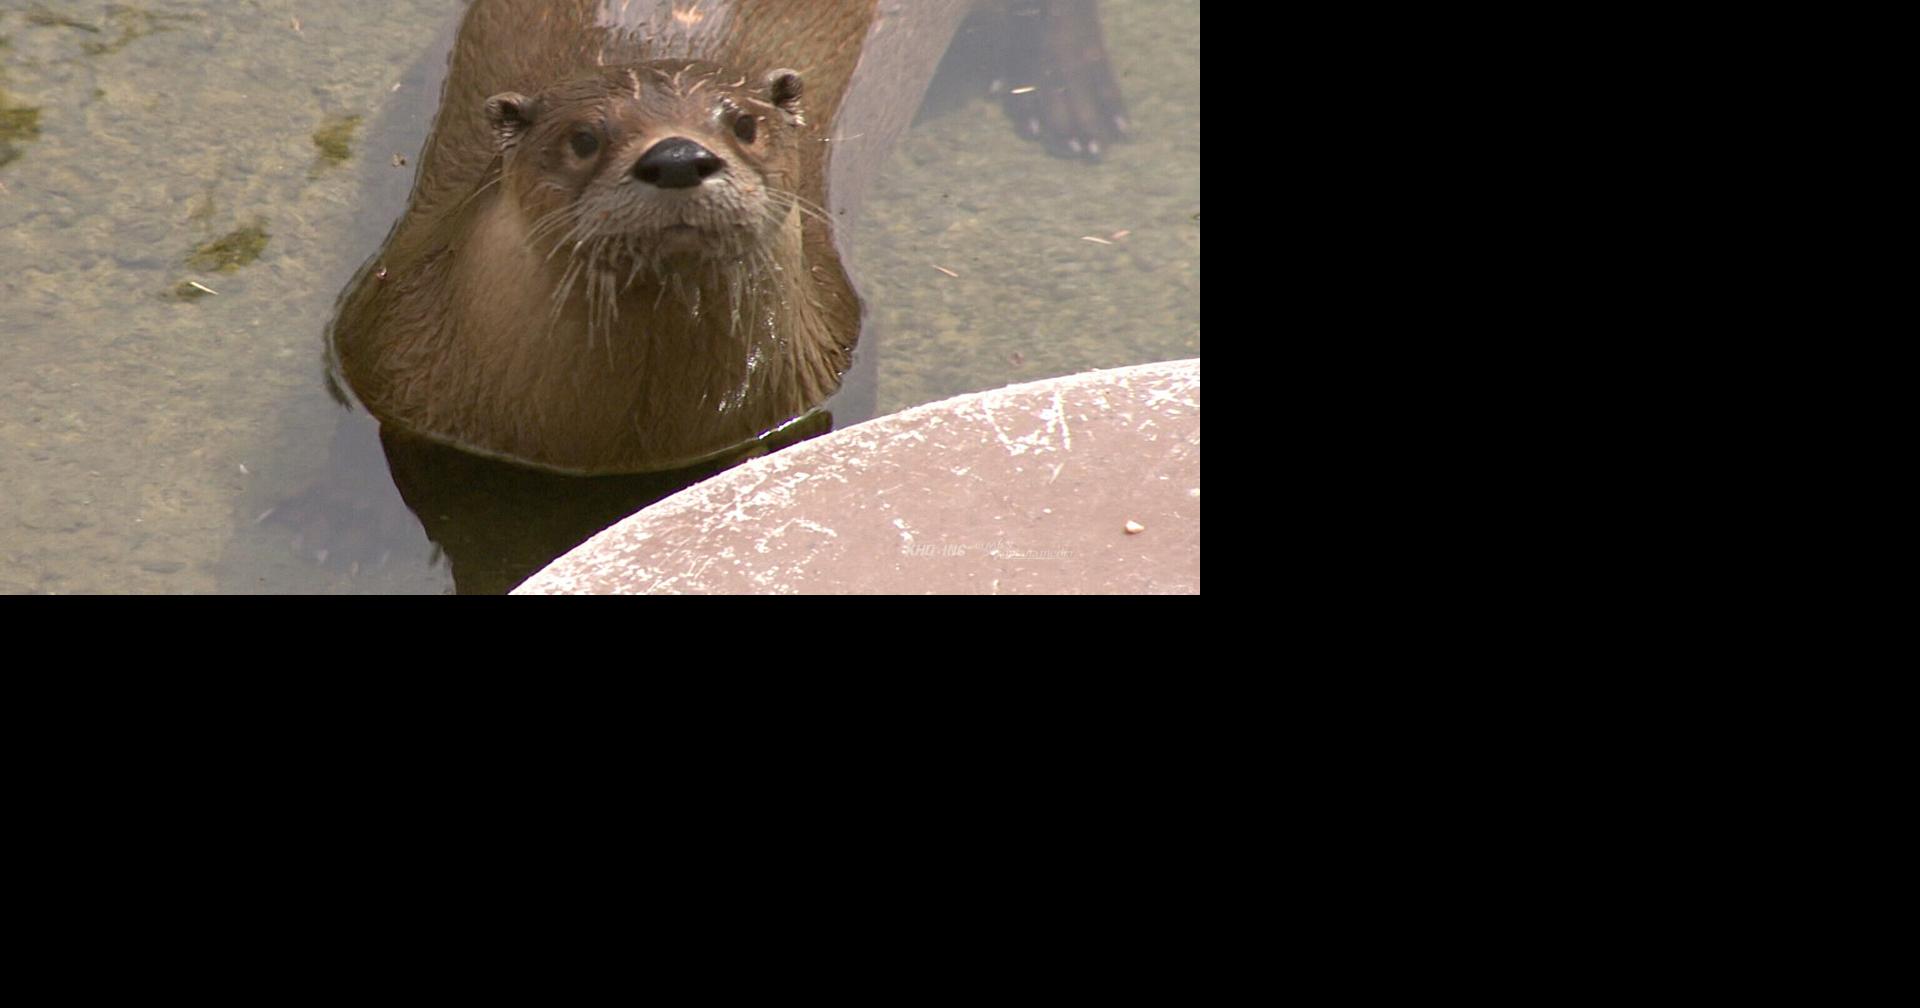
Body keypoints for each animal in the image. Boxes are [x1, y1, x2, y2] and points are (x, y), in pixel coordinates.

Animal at [327, 0, 1125, 476]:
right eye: (584, 138)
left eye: (743, 123)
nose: (679, 157)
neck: (625, 441)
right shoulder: (379, 339)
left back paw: (1077, 101)